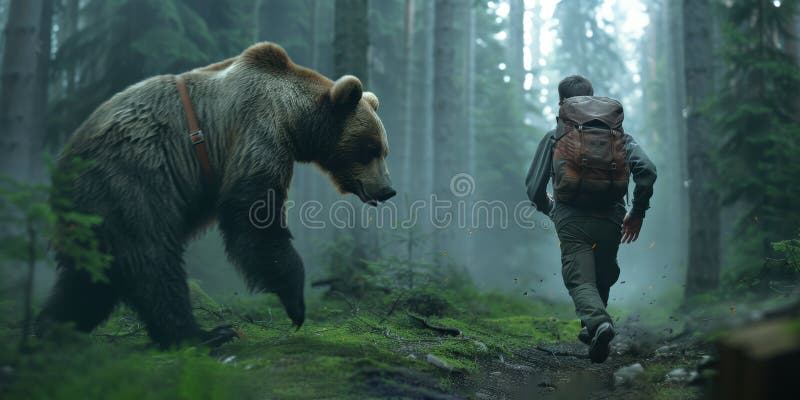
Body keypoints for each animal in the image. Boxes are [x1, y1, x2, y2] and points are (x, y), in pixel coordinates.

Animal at [37, 42, 396, 347]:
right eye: (370, 149)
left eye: (383, 150)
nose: (388, 189)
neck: (294, 119)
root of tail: (63, 162)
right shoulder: (257, 130)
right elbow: (253, 215)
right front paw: (295, 302)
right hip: (132, 180)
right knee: (151, 259)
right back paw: (203, 334)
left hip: (95, 209)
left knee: (89, 279)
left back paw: (54, 328)